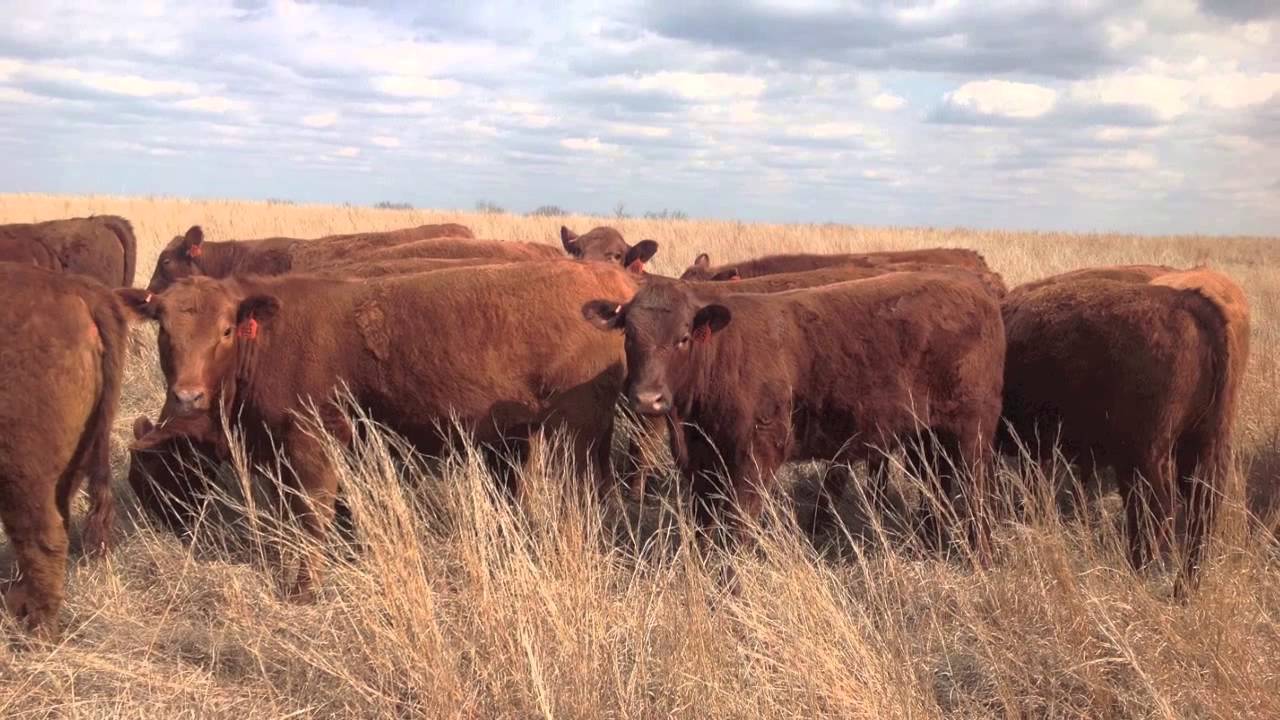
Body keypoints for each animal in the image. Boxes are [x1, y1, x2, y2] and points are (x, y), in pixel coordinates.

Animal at [121, 260, 636, 598]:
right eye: (164, 329)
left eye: (226, 330)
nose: (187, 395)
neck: (268, 341)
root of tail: (603, 278)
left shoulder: (311, 441)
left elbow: (311, 515)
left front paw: (304, 587)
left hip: (577, 432)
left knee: (584, 493)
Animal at [583, 272, 1005, 557]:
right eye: (628, 335)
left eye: (683, 337)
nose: (647, 399)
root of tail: (976, 292)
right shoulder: (702, 464)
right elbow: (705, 526)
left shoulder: (754, 459)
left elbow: (737, 528)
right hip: (926, 438)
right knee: (938, 487)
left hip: (974, 431)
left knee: (975, 490)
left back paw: (981, 556)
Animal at [1001, 268, 1249, 589]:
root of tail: (1191, 304)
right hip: (1205, 441)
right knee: (1201, 508)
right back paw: (1183, 588)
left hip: (1144, 456)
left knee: (1157, 509)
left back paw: (1134, 573)